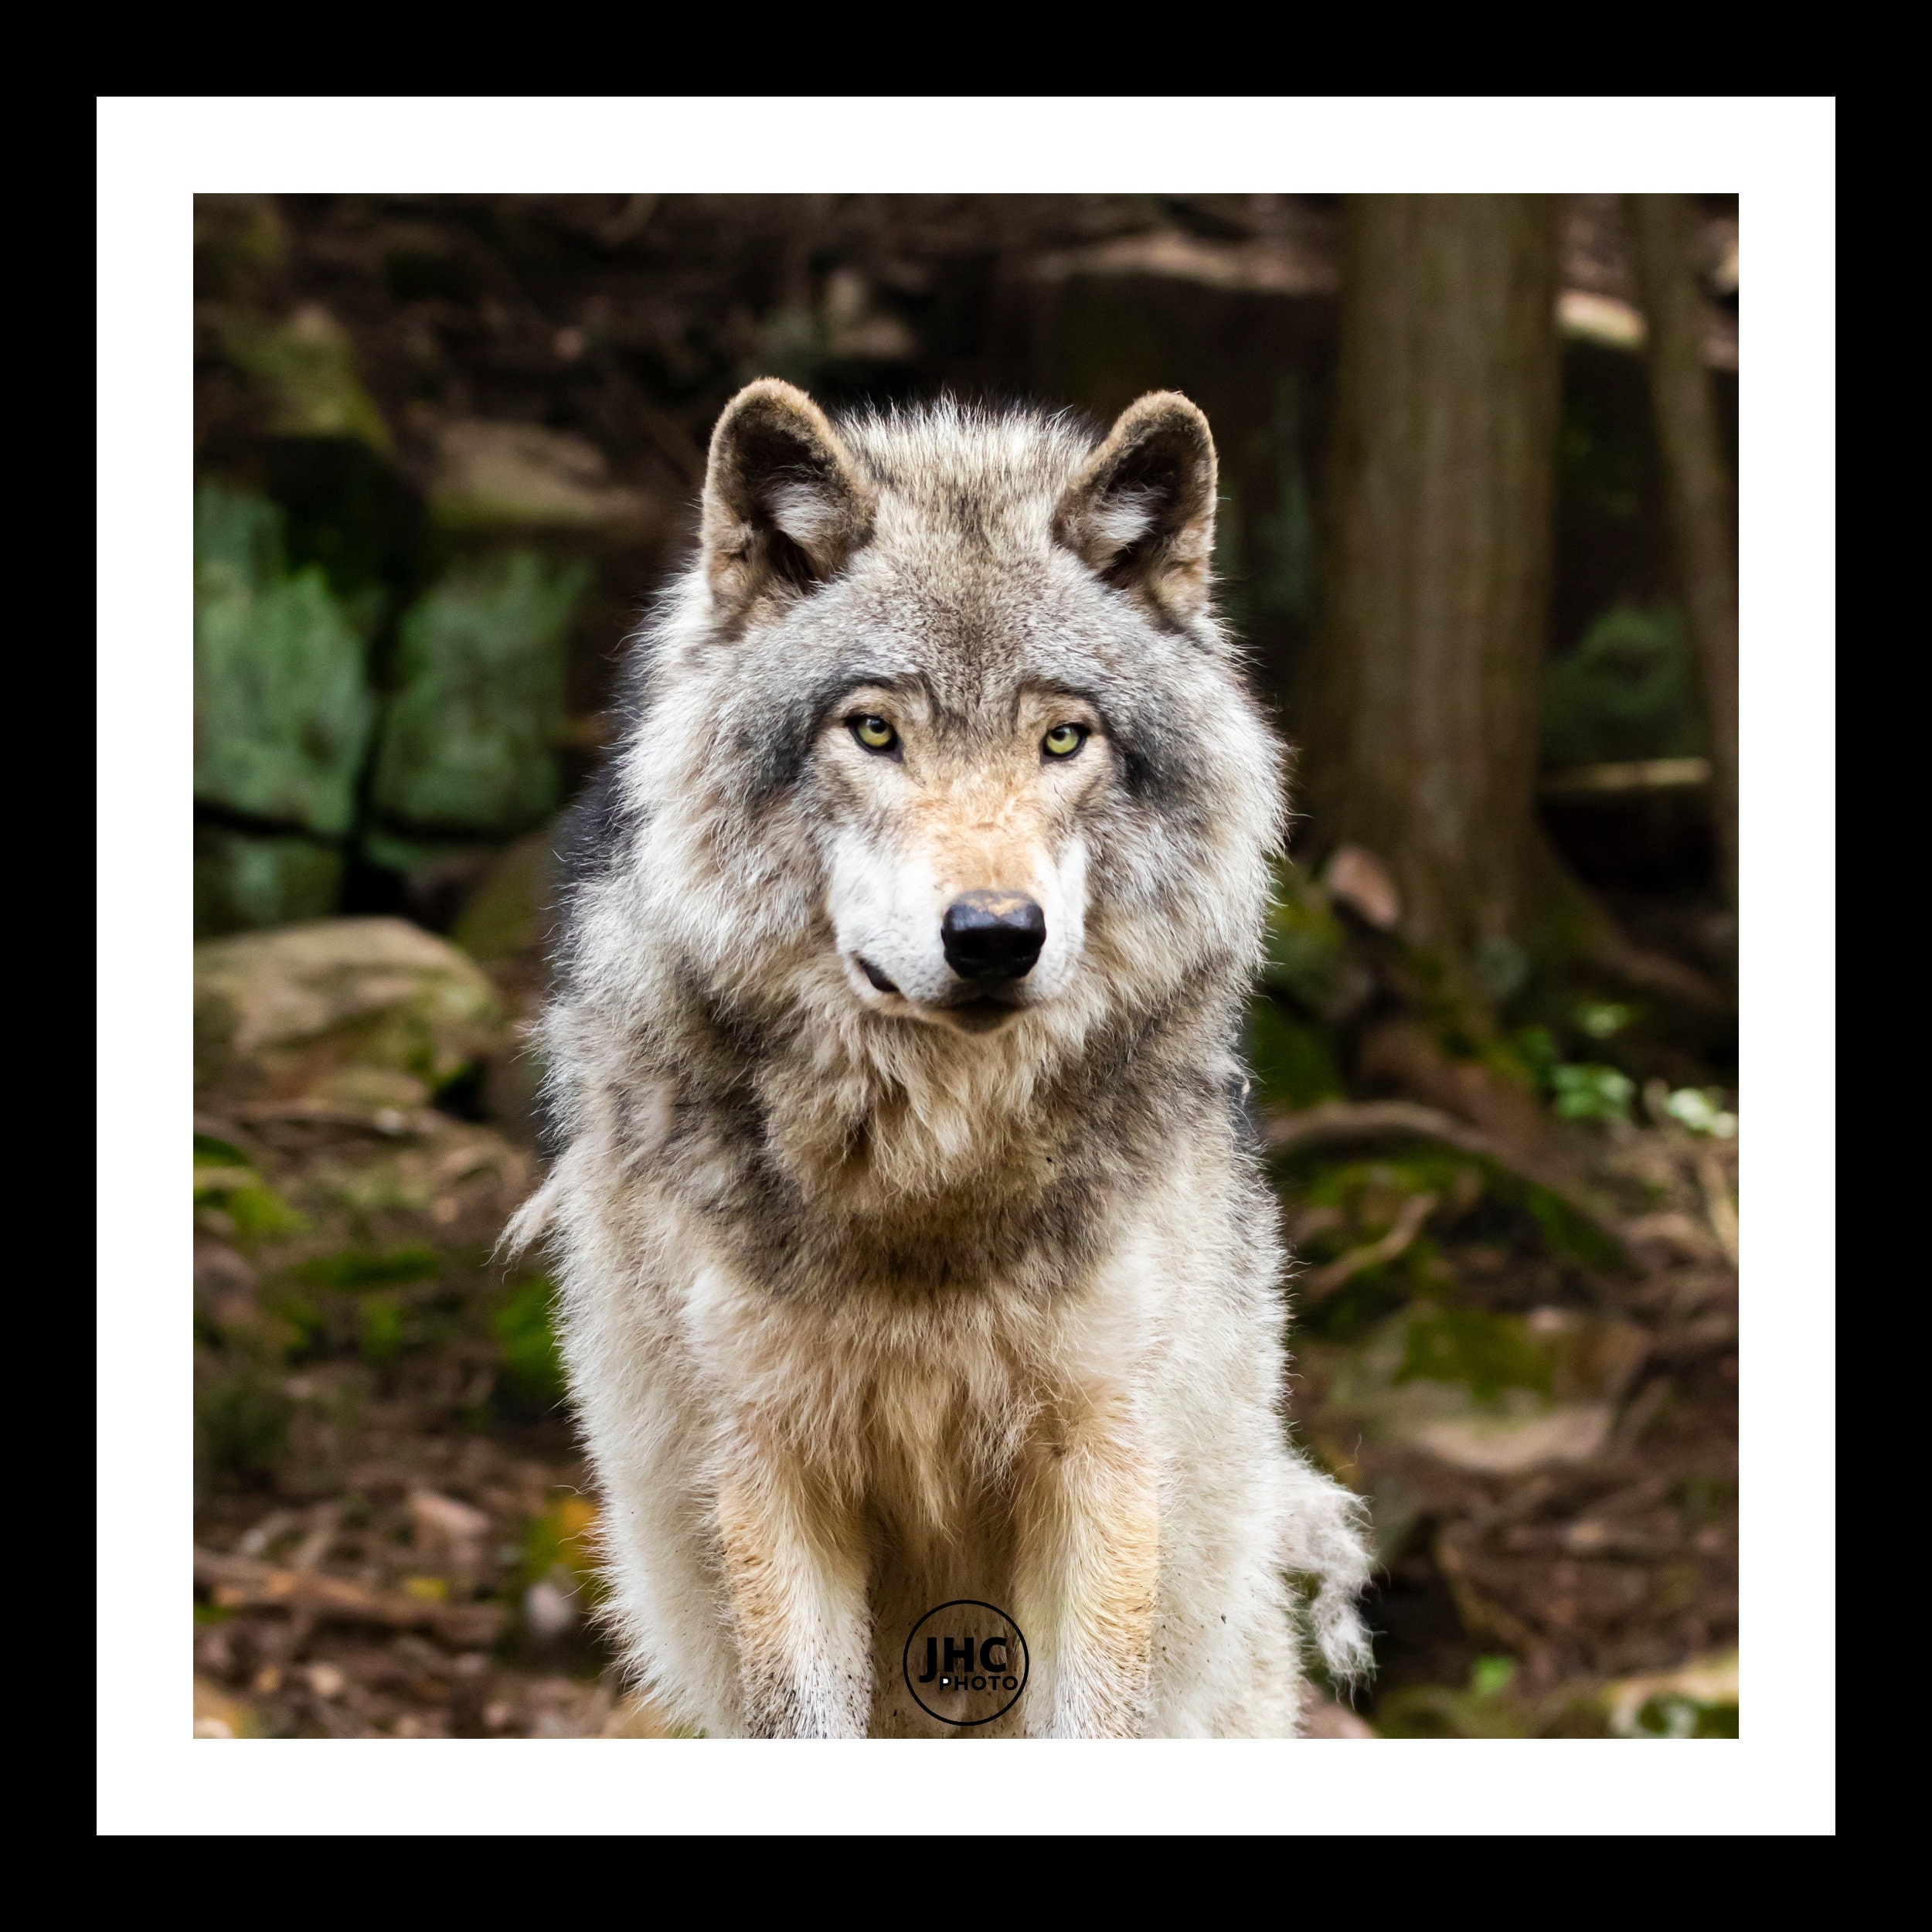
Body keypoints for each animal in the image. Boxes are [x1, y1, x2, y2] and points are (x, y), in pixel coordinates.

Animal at [509, 379, 1373, 1736]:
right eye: (873, 730)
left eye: (1065, 740)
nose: (996, 936)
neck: (931, 1179)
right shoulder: (769, 1466)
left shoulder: (1101, 1456)